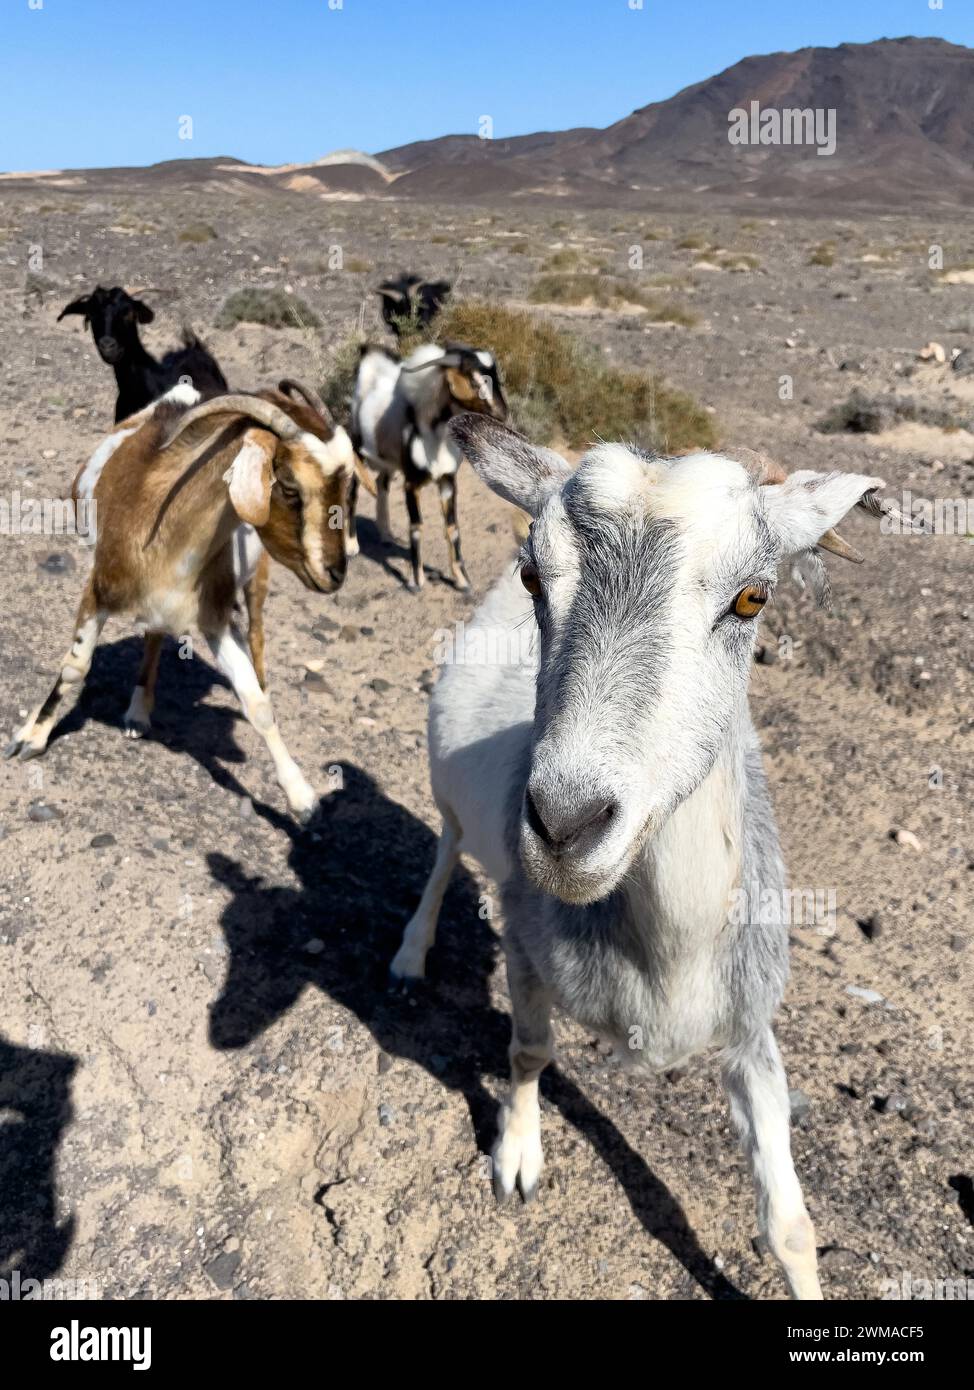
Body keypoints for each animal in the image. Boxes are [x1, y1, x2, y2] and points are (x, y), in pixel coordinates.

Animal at [3, 385, 371, 821]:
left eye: (348, 487)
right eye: (289, 486)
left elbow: (257, 704)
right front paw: (32, 736)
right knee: (154, 633)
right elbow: (76, 666)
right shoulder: (100, 588)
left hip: (258, 579)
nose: (337, 571)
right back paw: (138, 711)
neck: (166, 532)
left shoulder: (216, 619)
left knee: (256, 635)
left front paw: (301, 797)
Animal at [349, 342, 507, 591]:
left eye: (495, 375)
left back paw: (387, 536)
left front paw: (462, 581)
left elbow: (452, 528)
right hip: (358, 449)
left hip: (389, 462)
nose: (502, 414)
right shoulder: (411, 483)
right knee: (353, 491)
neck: (434, 437)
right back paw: (352, 546)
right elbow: (416, 526)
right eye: (473, 380)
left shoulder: (447, 480)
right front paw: (416, 581)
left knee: (381, 485)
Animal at [391, 414, 916, 1299]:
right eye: (535, 576)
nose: (566, 824)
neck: (668, 957)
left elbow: (790, 1226)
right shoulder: (525, 947)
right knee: (442, 853)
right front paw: (517, 1157)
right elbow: (529, 1050)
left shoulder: (750, 1028)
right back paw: (410, 951)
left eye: (752, 596)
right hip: (449, 797)